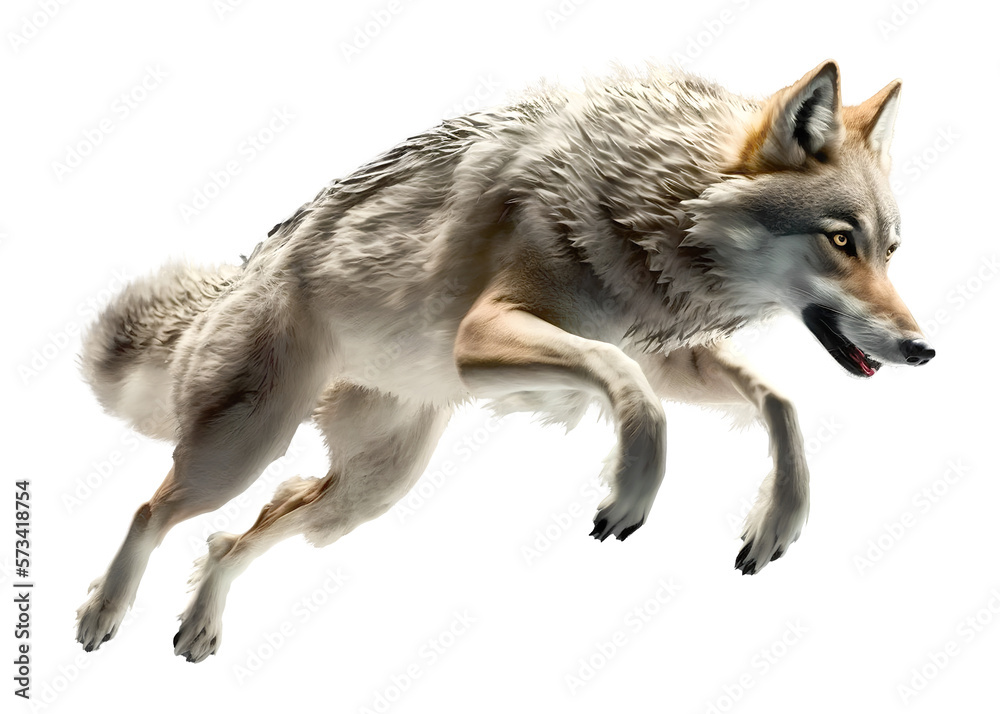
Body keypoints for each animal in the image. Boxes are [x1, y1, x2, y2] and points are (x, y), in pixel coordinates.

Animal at [75, 60, 934, 661]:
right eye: (840, 240)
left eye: (889, 250)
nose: (925, 349)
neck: (652, 204)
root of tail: (248, 267)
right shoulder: (490, 335)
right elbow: (632, 392)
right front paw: (632, 487)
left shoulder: (664, 355)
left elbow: (779, 404)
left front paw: (778, 520)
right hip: (243, 450)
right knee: (151, 510)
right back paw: (102, 611)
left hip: (363, 496)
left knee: (235, 535)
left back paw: (198, 627)